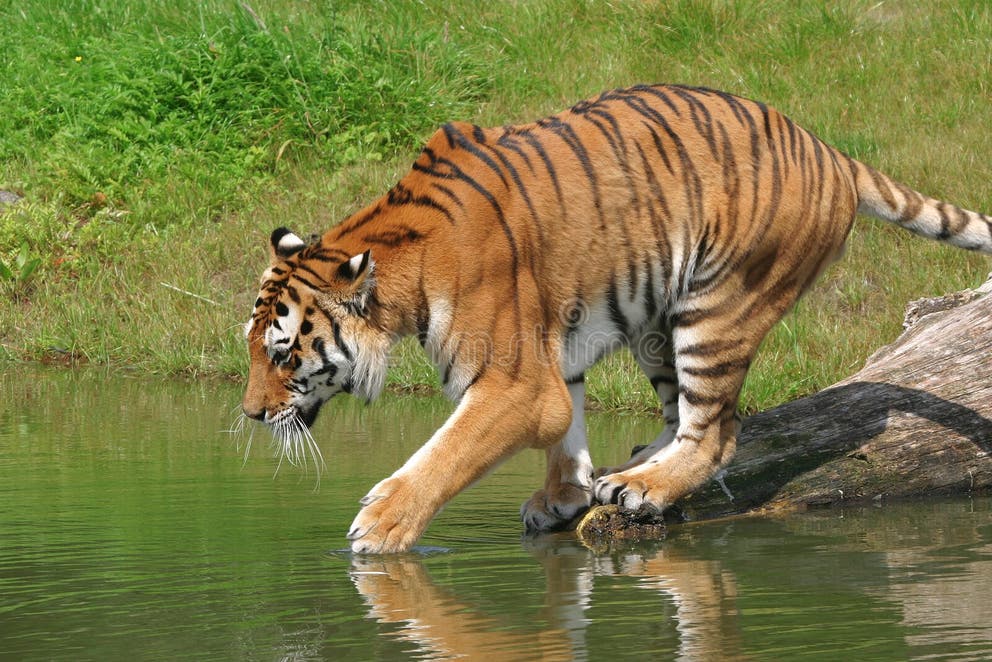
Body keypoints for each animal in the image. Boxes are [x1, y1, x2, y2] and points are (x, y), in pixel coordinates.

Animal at [241, 84, 992, 554]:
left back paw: (642, 487)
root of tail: (829, 150)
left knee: (717, 433)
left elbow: (447, 453)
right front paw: (563, 494)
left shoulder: (516, 383)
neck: (401, 271)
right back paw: (628, 468)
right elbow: (567, 427)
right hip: (654, 318)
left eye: (283, 353)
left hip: (717, 305)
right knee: (680, 412)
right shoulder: (555, 357)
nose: (250, 415)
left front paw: (380, 529)